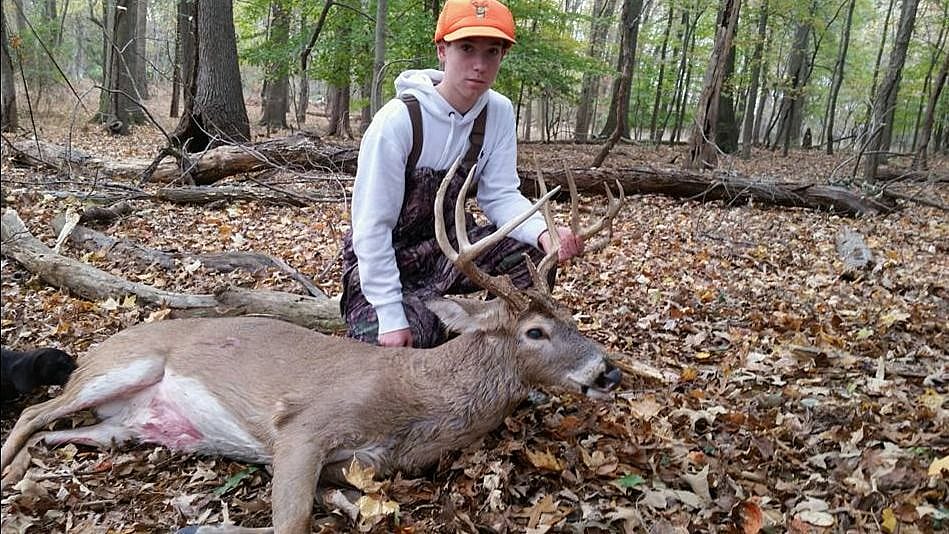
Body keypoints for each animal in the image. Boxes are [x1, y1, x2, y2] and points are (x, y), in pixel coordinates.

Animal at [0, 157, 625, 534]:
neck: (418, 399)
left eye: (571, 318)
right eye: (534, 332)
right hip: (123, 364)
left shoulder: (355, 464)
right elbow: (292, 520)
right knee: (35, 410)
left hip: (122, 426)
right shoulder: (302, 426)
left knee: (70, 431)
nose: (607, 371)